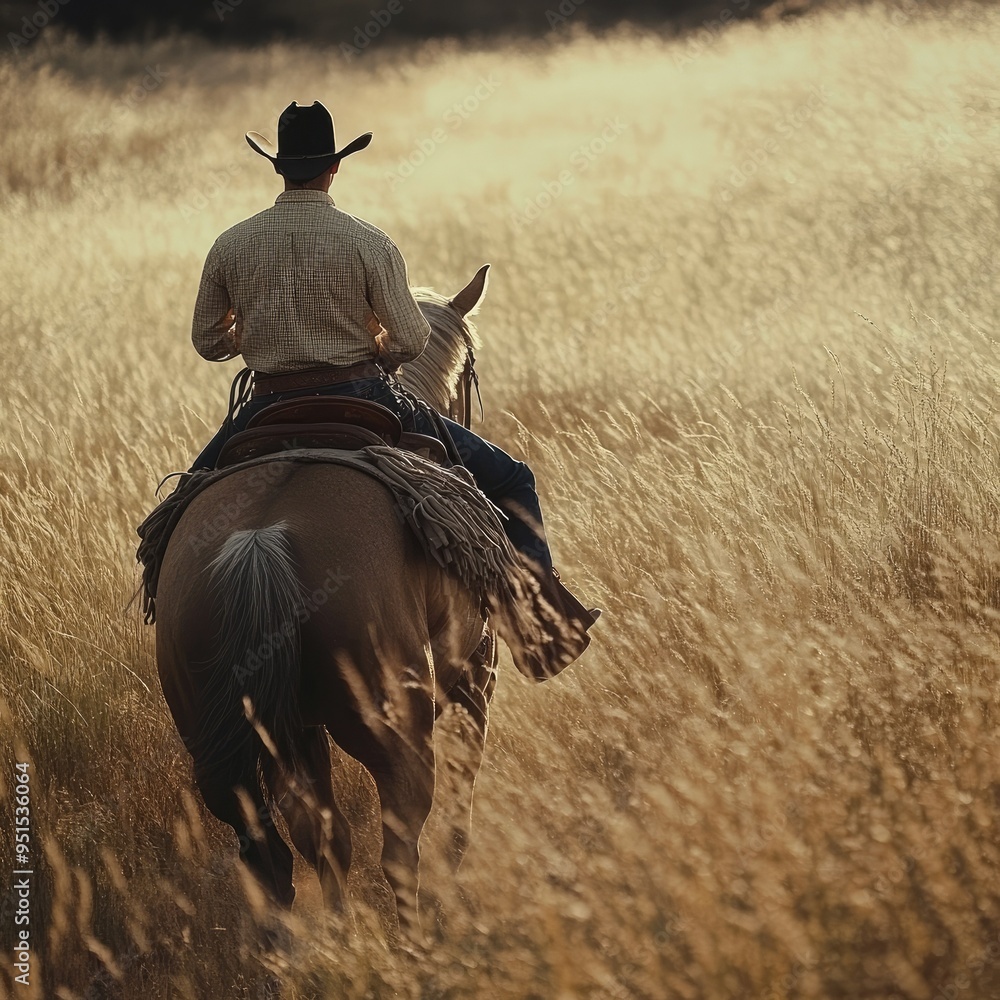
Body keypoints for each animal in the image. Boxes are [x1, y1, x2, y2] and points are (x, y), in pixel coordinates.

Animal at [153, 265, 497, 935]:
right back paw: (413, 940)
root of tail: (260, 543)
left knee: (281, 852)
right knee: (398, 843)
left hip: (224, 746)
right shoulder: (474, 671)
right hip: (394, 730)